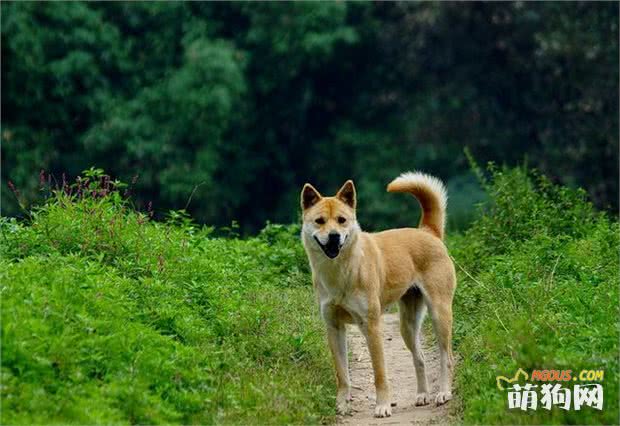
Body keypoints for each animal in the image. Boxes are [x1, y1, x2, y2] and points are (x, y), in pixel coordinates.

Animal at [300, 171, 456, 418]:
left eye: (342, 220)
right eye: (320, 221)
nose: (334, 237)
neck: (341, 272)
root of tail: (427, 231)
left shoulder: (371, 326)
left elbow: (380, 374)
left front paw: (382, 406)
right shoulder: (334, 327)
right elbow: (342, 374)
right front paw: (342, 405)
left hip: (440, 314)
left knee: (446, 357)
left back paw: (443, 393)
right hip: (407, 325)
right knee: (419, 358)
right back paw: (422, 395)